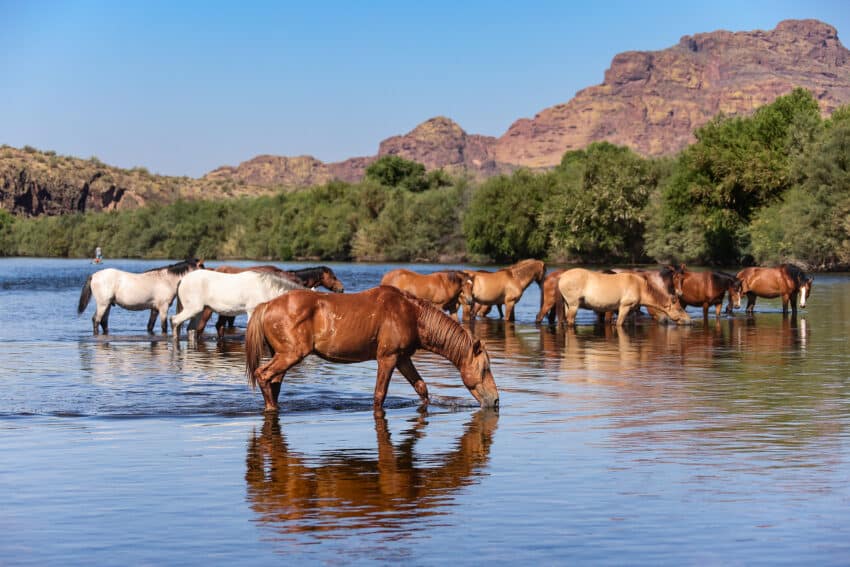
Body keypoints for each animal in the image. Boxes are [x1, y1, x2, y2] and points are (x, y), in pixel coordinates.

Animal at [77, 258, 205, 335]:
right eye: (202, 268)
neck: (166, 280)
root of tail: (94, 275)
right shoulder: (163, 307)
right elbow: (163, 326)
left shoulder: (154, 308)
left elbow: (150, 326)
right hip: (103, 304)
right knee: (96, 320)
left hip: (108, 304)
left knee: (103, 322)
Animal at [171, 270, 305, 340]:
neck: (265, 288)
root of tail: (183, 280)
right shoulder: (252, 311)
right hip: (192, 309)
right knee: (175, 321)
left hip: (198, 311)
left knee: (191, 330)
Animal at [245, 286, 499, 412]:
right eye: (485, 369)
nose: (496, 401)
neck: (411, 314)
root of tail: (266, 306)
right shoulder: (387, 358)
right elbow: (379, 395)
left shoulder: (403, 359)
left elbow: (422, 388)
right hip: (290, 355)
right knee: (263, 375)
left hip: (282, 356)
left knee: (273, 383)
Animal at [557, 268, 691, 327]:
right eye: (679, 309)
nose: (690, 321)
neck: (640, 287)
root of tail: (561, 276)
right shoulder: (624, 307)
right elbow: (619, 324)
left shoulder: (631, 311)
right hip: (574, 305)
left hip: (567, 305)